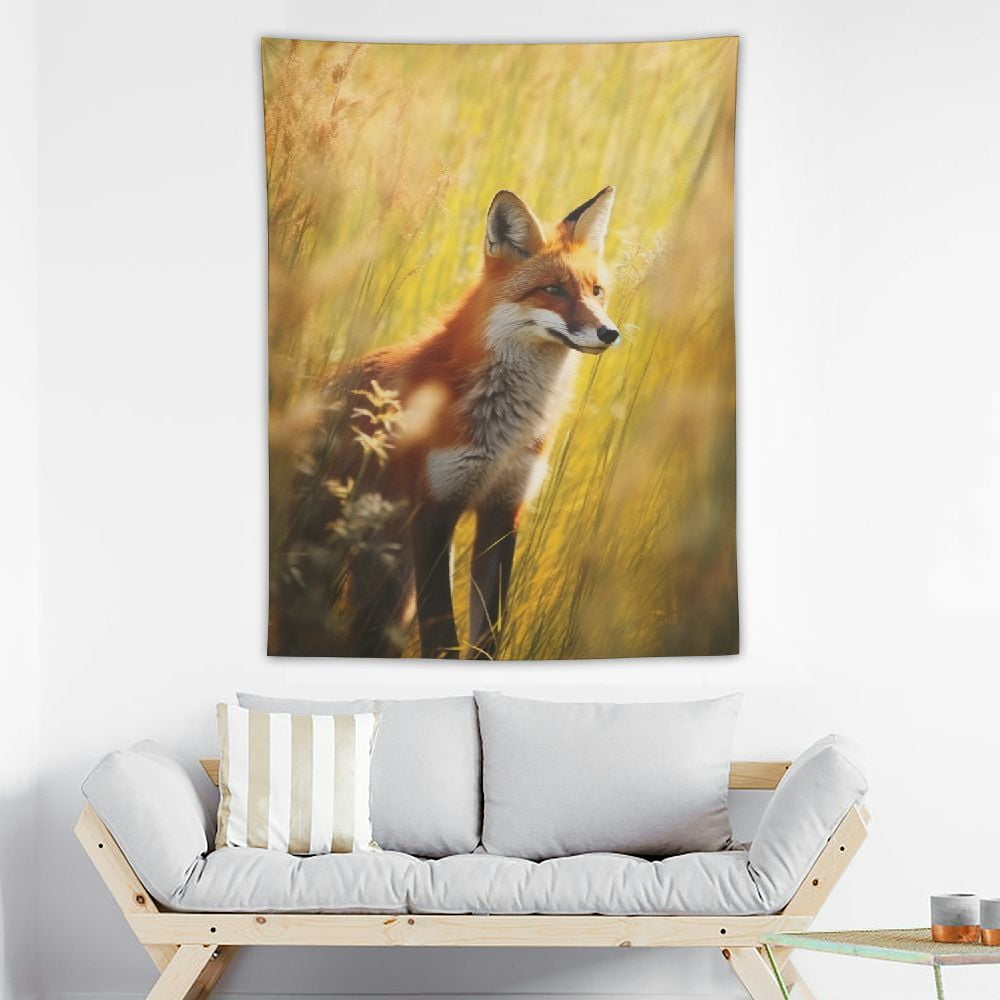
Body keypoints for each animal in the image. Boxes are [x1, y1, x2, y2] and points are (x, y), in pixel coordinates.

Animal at [282, 186, 620, 659]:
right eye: (552, 290)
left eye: (596, 291)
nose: (610, 333)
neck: (504, 427)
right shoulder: (433, 510)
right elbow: (443, 639)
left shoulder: (503, 510)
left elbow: (487, 636)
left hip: (391, 592)